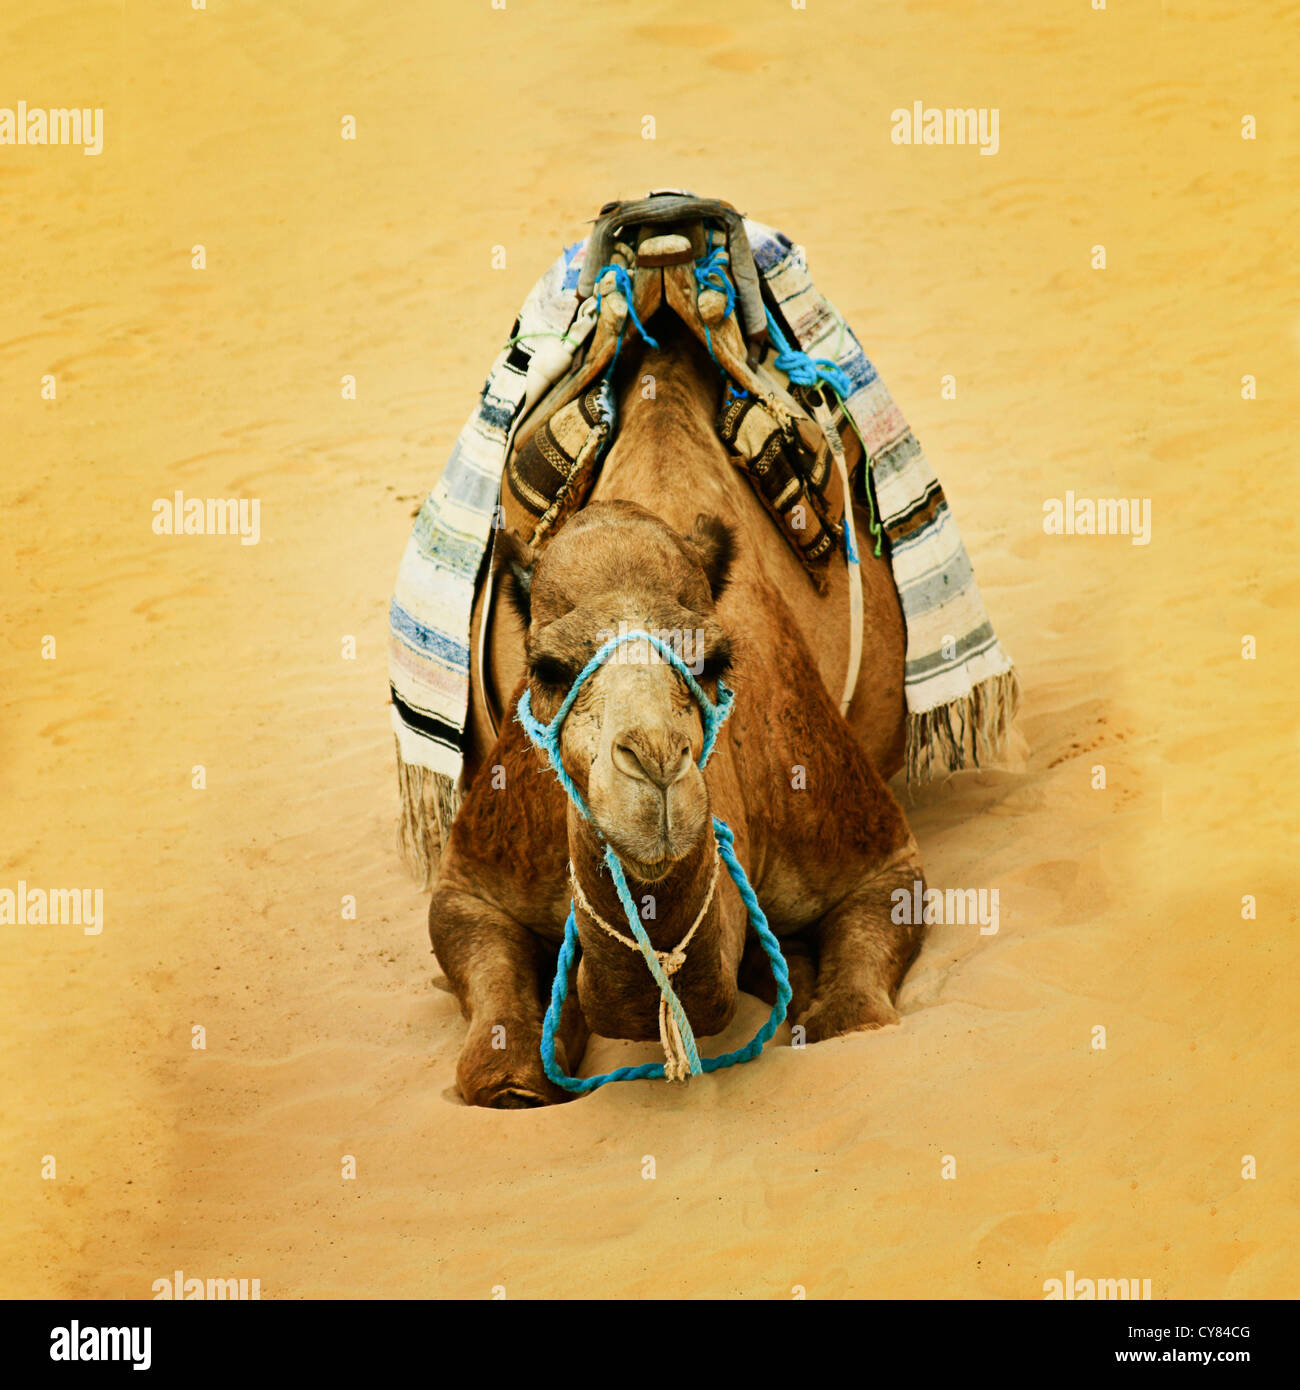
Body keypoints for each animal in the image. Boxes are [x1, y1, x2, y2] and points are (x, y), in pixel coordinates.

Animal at [429, 316, 926, 1107]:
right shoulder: (472, 876)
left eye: (713, 662)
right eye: (547, 669)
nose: (656, 761)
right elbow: (495, 1069)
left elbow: (855, 1019)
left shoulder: (877, 853)